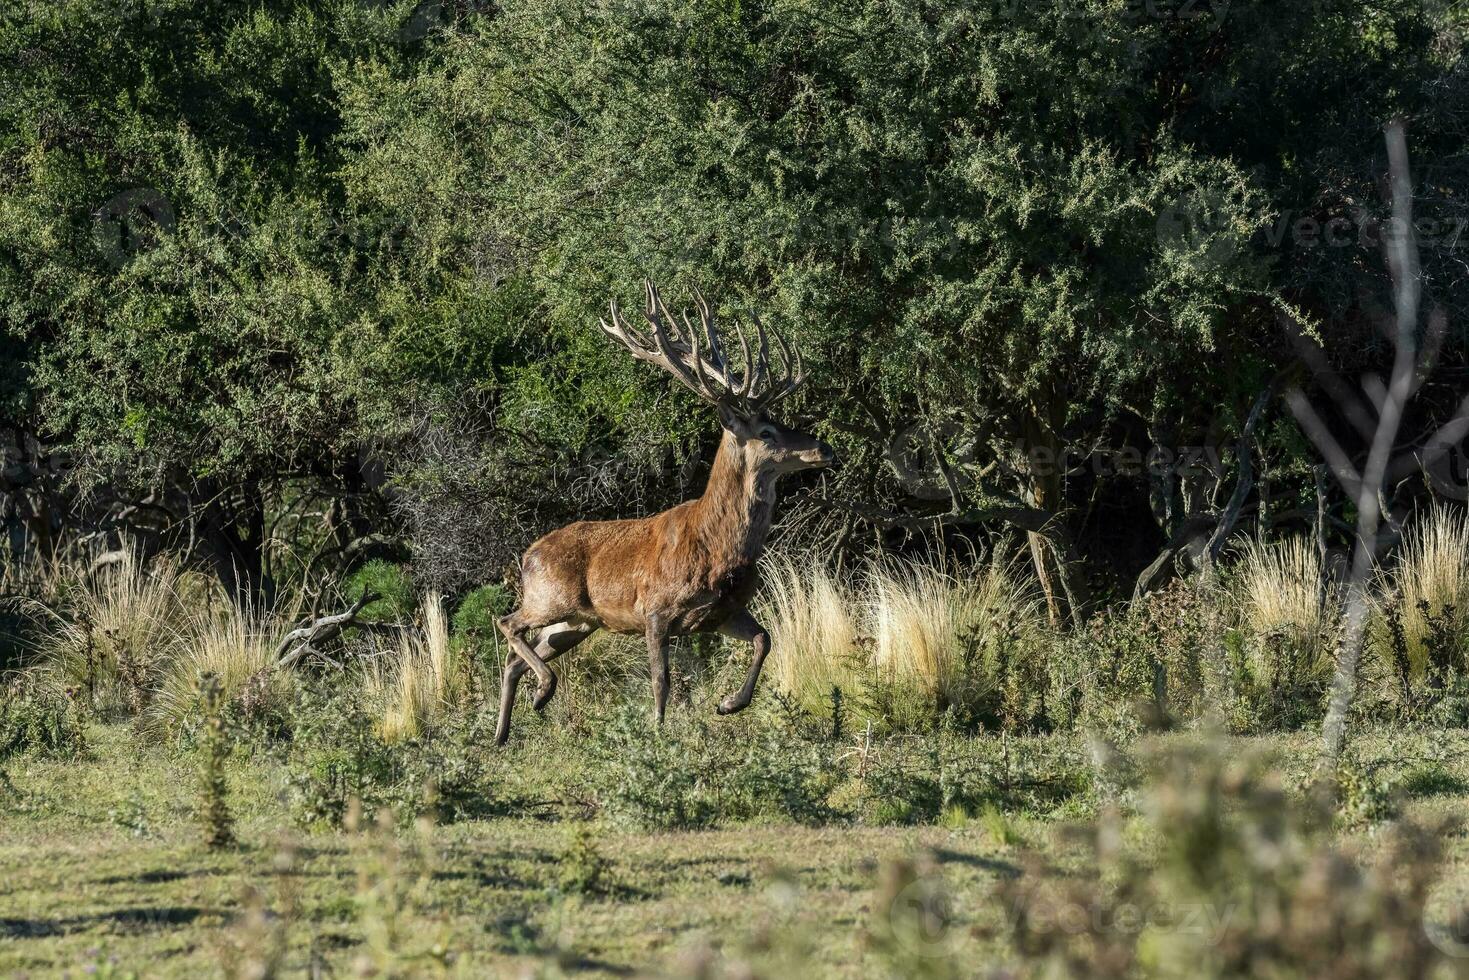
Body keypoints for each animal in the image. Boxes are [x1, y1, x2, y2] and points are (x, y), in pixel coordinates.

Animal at [493, 281, 834, 745]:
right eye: (766, 432)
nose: (824, 447)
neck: (718, 549)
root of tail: (528, 556)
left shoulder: (722, 612)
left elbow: (764, 639)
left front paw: (730, 703)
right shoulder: (654, 609)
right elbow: (662, 680)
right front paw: (657, 736)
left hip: (576, 623)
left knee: (515, 658)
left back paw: (504, 731)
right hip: (551, 597)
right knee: (507, 622)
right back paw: (542, 691)